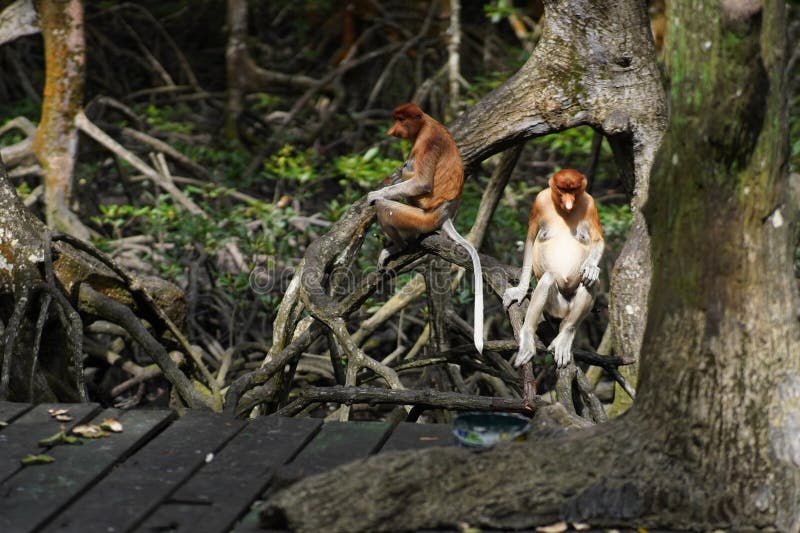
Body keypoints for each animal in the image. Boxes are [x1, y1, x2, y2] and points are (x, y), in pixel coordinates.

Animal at [367, 102, 484, 353]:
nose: (393, 130)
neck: (425, 124)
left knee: (396, 190)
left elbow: (421, 182)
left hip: (422, 217)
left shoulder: (427, 142)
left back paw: (398, 247)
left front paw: (374, 194)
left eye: (401, 120)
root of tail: (445, 214)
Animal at [502, 168, 604, 368]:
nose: (569, 201)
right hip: (553, 307)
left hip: (568, 308)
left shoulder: (590, 204)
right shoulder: (539, 201)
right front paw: (520, 290)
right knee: (548, 278)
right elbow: (531, 238)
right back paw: (528, 339)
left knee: (590, 283)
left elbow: (598, 240)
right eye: (562, 189)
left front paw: (592, 267)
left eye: (573, 190)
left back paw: (565, 335)